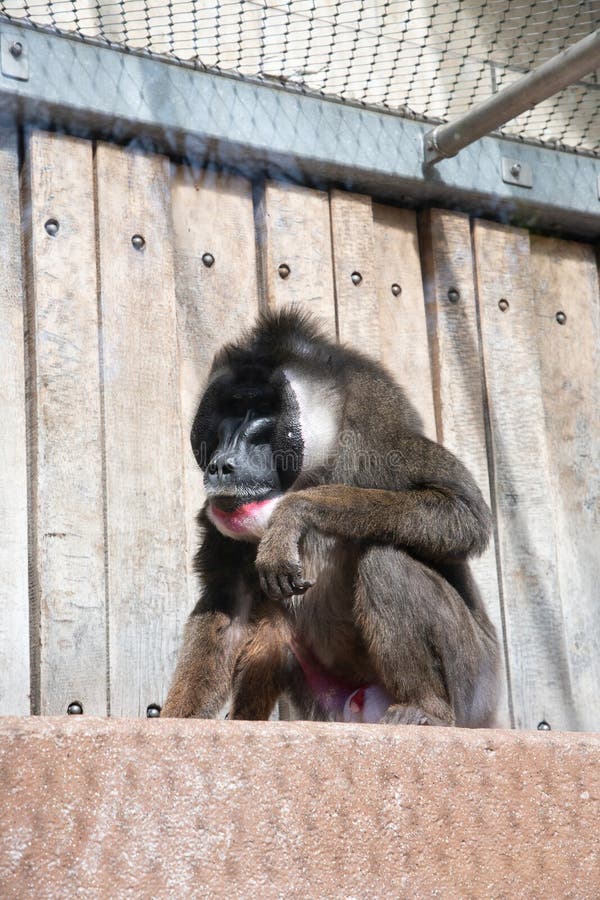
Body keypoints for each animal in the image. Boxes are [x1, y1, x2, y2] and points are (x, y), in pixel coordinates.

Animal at [161, 306, 499, 727]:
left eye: (261, 413)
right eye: (230, 409)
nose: (223, 465)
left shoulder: (377, 440)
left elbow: (464, 512)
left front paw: (295, 513)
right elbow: (228, 607)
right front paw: (178, 717)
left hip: (471, 686)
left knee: (385, 559)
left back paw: (425, 707)